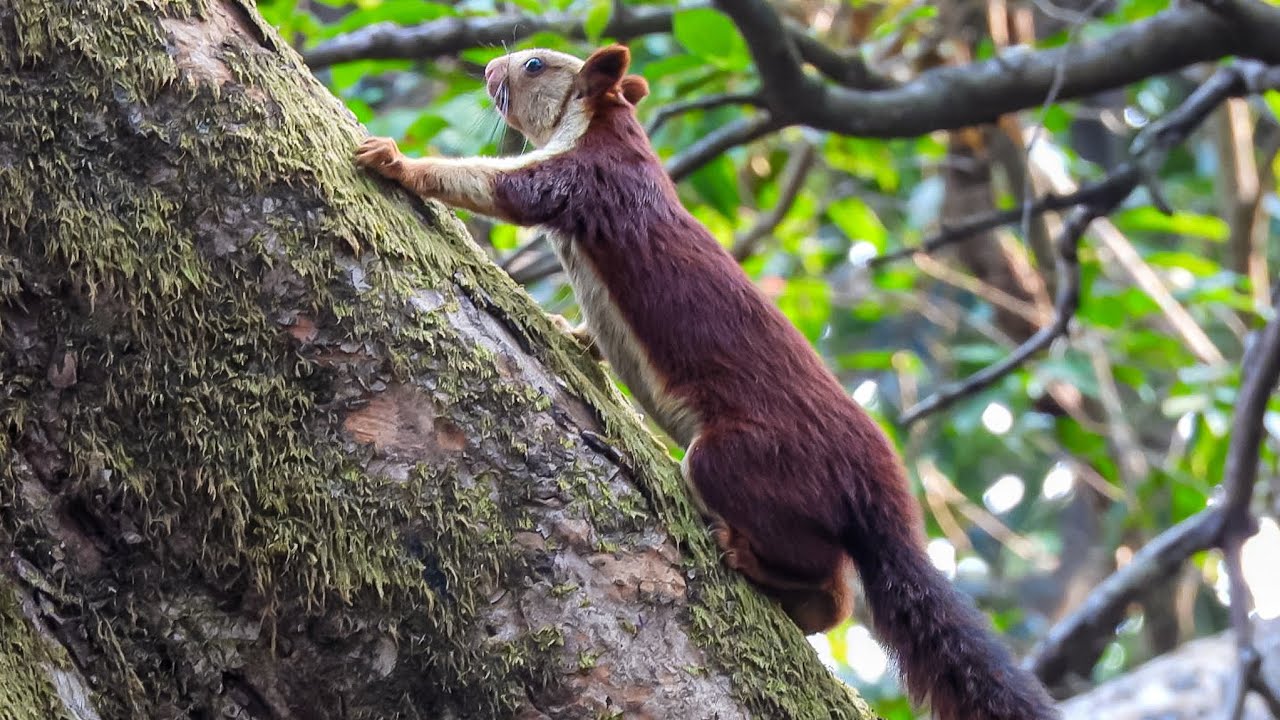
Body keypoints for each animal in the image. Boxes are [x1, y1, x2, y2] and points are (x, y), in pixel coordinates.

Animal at [355, 44, 1058, 720]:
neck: (607, 126)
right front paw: (574, 333)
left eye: (533, 65)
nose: (487, 69)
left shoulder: (590, 179)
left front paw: (396, 162)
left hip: (748, 460)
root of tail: (878, 495)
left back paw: (754, 561)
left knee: (819, 572)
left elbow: (501, 189)